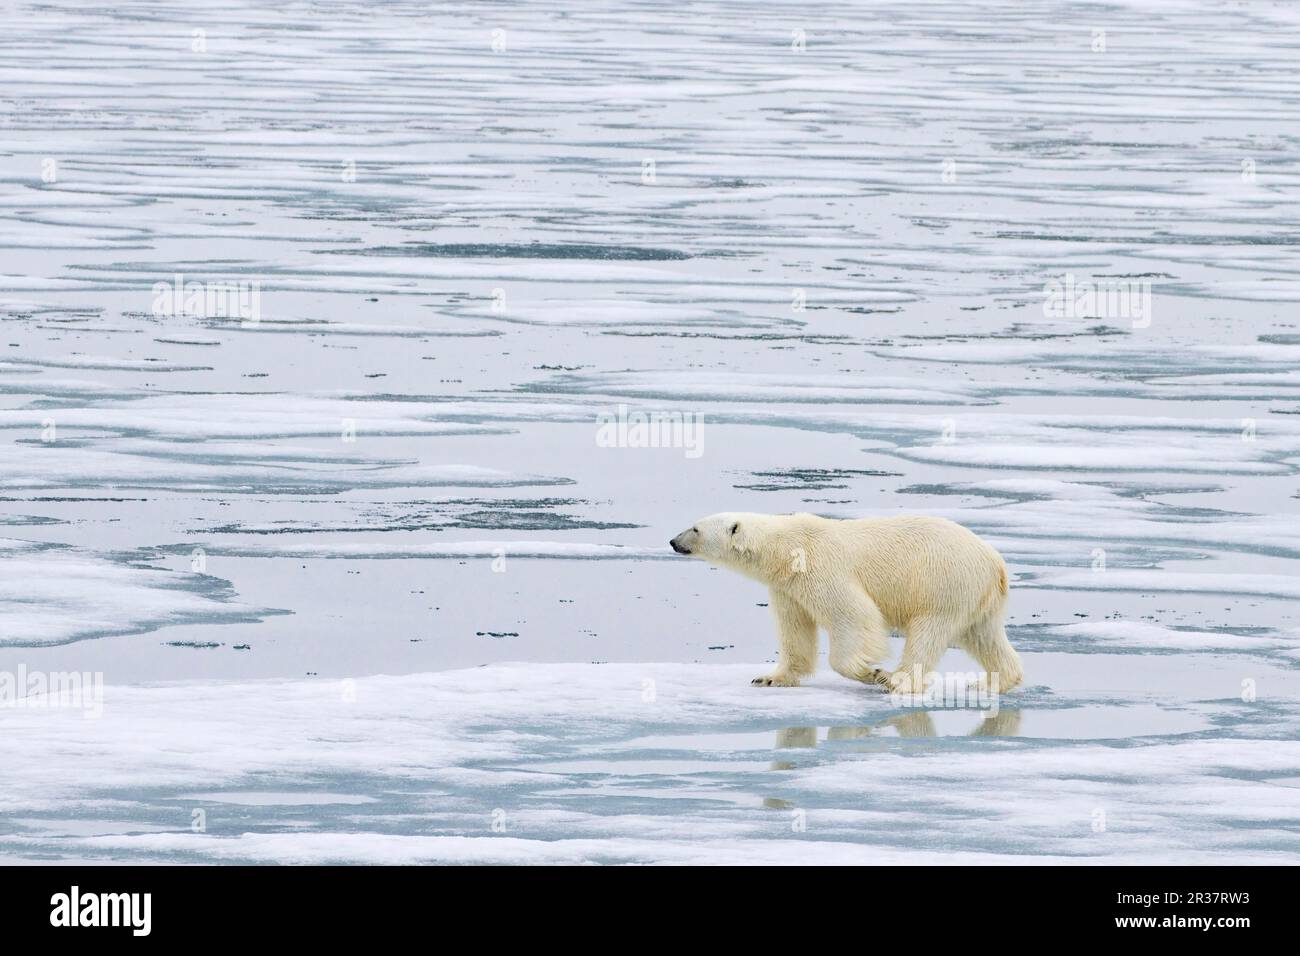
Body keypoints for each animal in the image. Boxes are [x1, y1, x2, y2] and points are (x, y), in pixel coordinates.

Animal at [669, 512, 1023, 693]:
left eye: (696, 528)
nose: (673, 541)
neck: (784, 549)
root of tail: (996, 563)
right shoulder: (787, 587)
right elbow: (795, 629)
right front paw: (770, 677)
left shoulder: (819, 567)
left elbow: (854, 615)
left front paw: (871, 672)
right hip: (977, 595)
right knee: (983, 635)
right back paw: (992, 682)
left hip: (942, 580)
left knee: (929, 630)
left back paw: (898, 681)